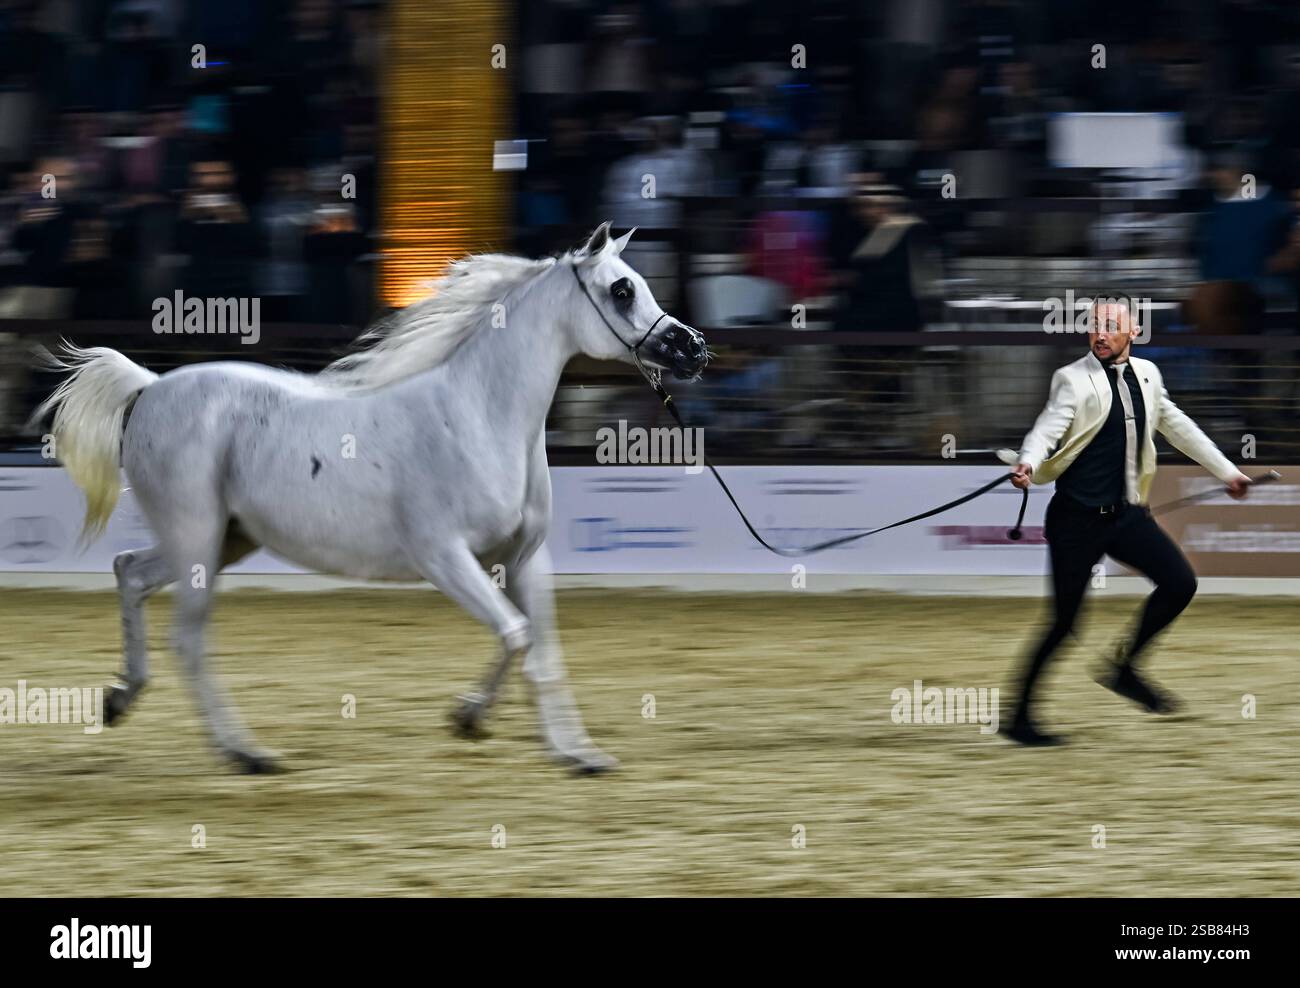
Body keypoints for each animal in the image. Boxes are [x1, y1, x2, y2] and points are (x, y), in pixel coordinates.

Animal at [35, 222, 708, 774]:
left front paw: (574, 751)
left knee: (130, 573)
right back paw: (246, 753)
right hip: (197, 537)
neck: (479, 415)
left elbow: (541, 651)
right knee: (189, 639)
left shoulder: (522, 560)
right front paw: (472, 718)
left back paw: (121, 699)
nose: (693, 348)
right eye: (621, 290)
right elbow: (517, 637)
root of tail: (148, 389)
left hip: (222, 538)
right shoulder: (443, 556)